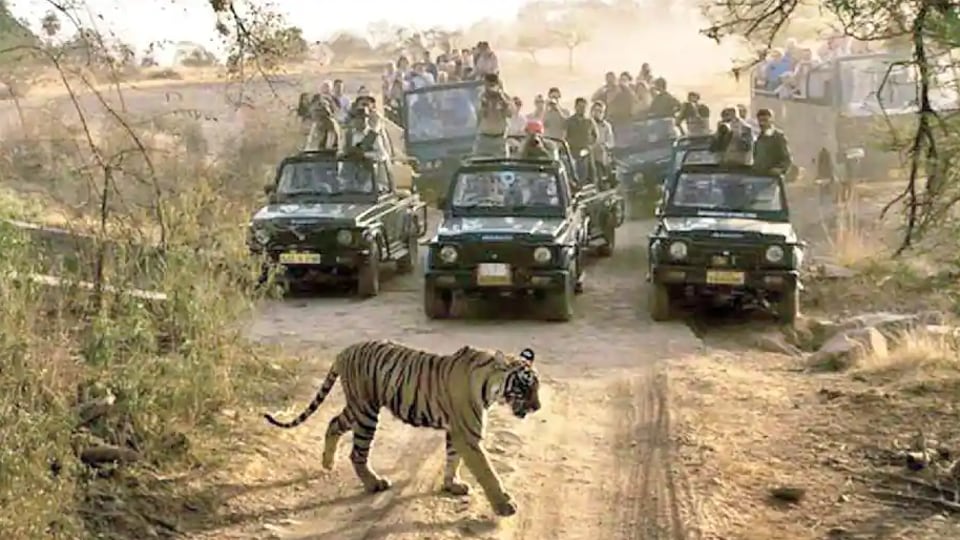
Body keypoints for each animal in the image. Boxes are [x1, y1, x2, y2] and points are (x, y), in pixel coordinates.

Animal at [263, 340, 541, 517]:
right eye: (525, 386)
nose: (537, 407)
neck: (489, 385)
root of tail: (344, 351)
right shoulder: (468, 435)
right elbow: (488, 473)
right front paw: (504, 506)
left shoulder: (456, 432)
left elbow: (453, 459)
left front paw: (452, 485)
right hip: (366, 411)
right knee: (357, 453)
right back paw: (374, 483)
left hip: (356, 407)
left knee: (333, 423)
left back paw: (327, 463)